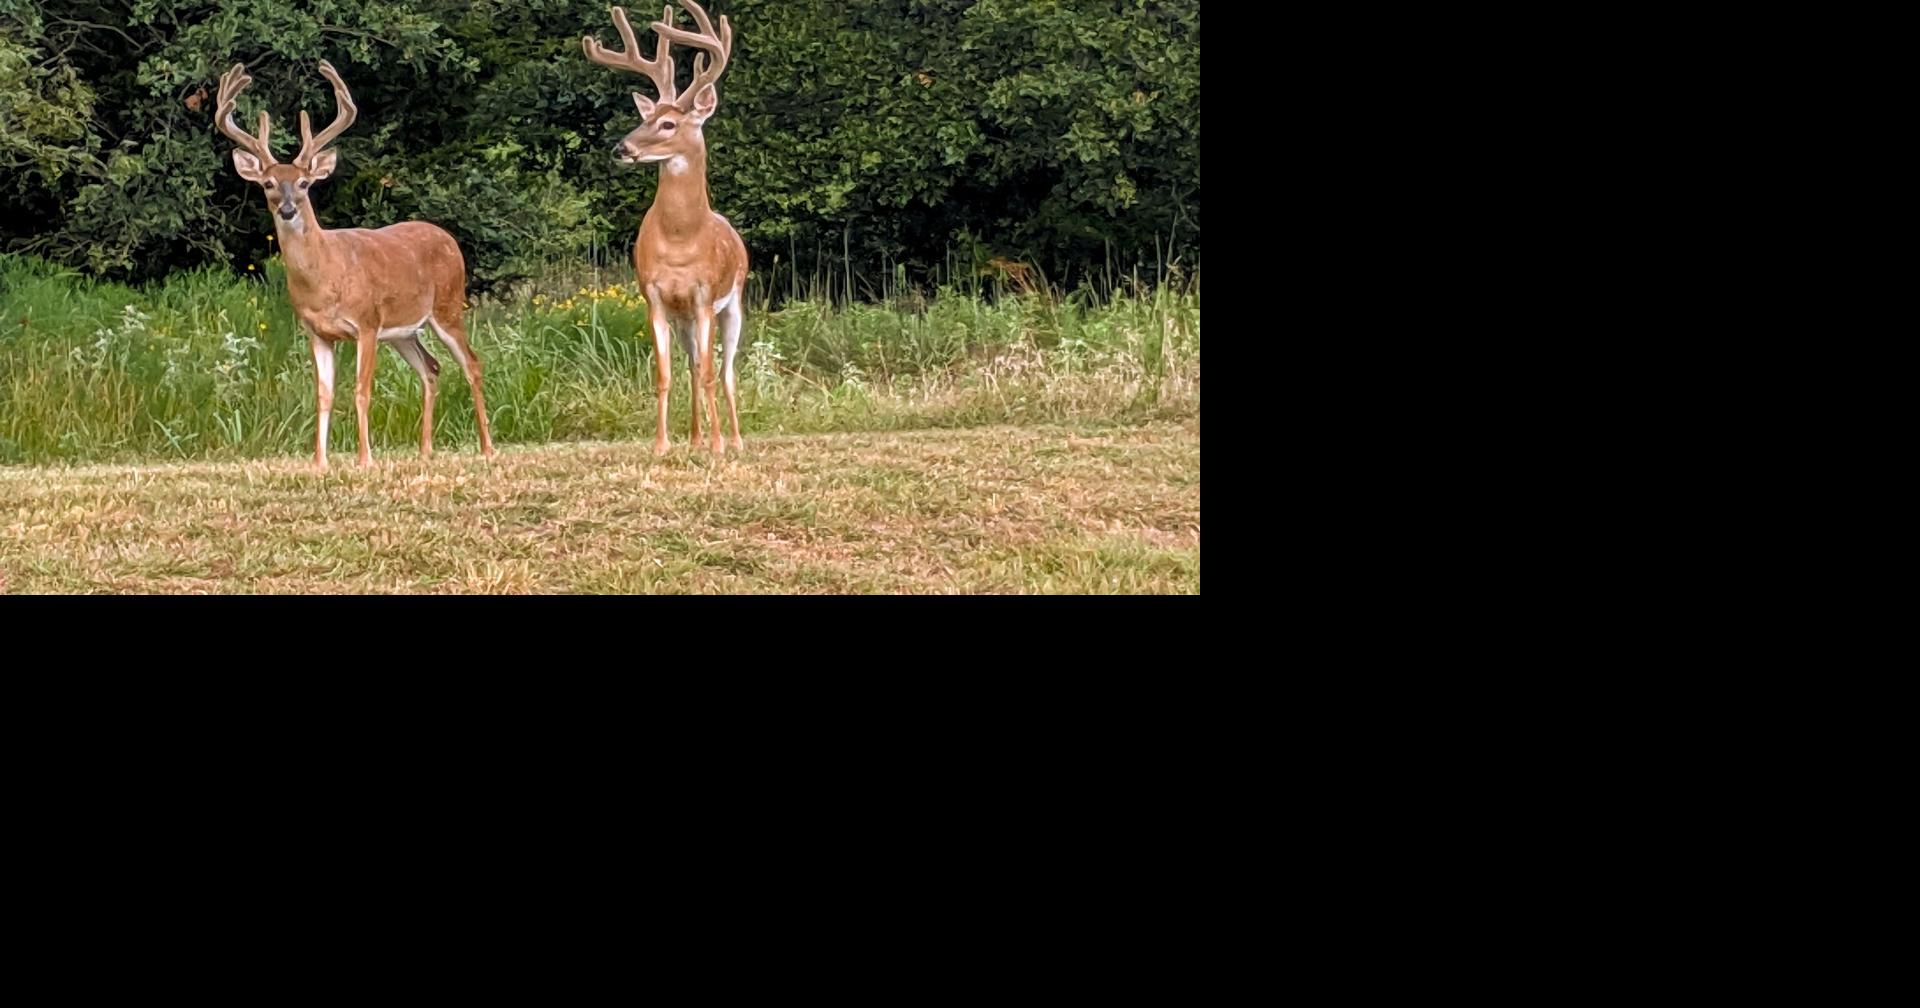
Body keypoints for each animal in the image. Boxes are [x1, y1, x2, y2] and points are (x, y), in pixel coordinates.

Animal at [215, 59, 495, 469]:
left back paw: (487, 447)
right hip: (404, 332)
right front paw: (320, 462)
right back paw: (425, 449)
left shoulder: (366, 323)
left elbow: (361, 390)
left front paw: (366, 459)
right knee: (431, 368)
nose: (287, 209)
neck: (325, 276)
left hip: (446, 308)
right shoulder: (317, 332)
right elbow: (323, 395)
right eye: (268, 183)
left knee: (472, 363)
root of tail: (447, 237)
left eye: (304, 183)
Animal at [583, 1, 749, 457]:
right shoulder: (655, 297)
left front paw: (717, 445)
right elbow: (665, 373)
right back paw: (693, 438)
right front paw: (661, 444)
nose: (621, 148)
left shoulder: (705, 295)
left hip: (733, 302)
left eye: (669, 124)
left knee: (725, 371)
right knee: (692, 364)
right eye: (647, 116)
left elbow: (710, 372)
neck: (680, 239)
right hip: (684, 317)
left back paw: (733, 439)